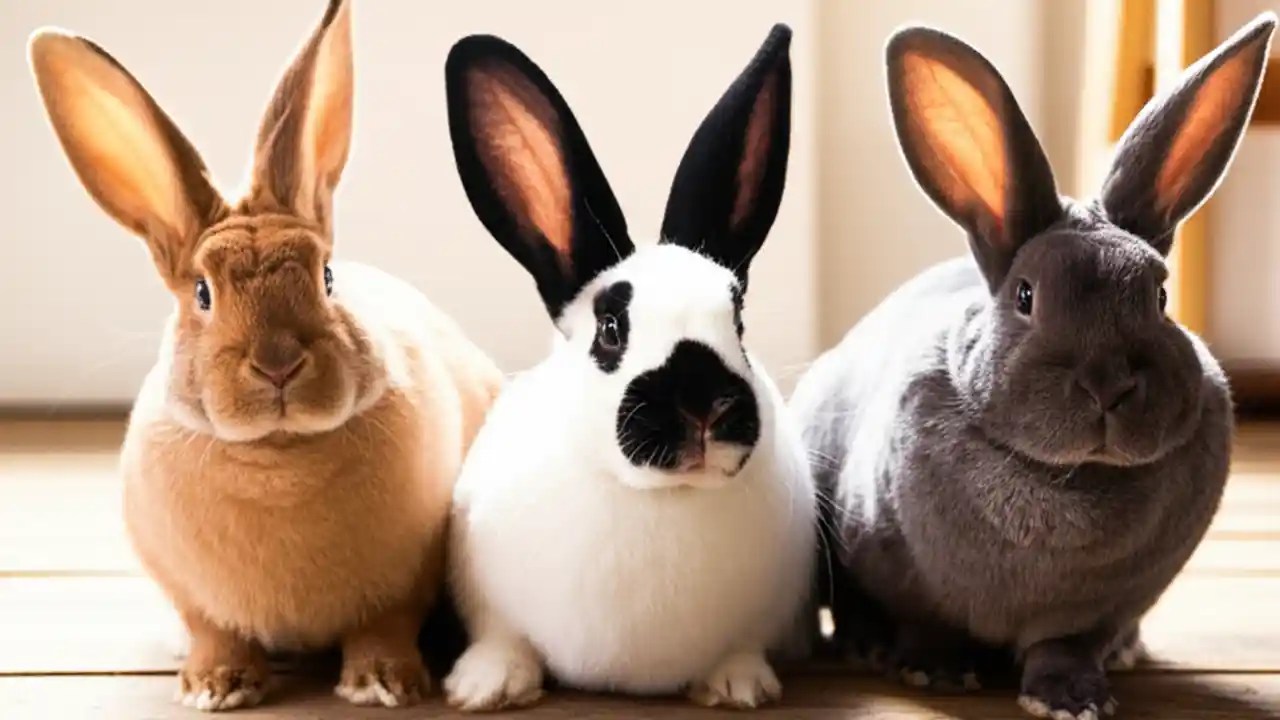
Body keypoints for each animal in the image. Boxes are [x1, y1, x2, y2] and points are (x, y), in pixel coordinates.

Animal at [28, 0, 503, 711]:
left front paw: (382, 684)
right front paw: (215, 686)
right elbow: (215, 632)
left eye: (327, 277)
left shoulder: (406, 581)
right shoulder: (192, 594)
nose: (278, 363)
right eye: (202, 293)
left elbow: (384, 627)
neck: (278, 452)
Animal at [439, 25, 815, 712]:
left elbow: (744, 647)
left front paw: (738, 686)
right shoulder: (486, 598)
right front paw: (485, 686)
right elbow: (501, 636)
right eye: (611, 328)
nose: (702, 401)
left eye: (737, 320)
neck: (658, 497)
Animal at [789, 13, 1275, 720]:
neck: (1065, 476)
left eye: (1159, 297)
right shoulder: (902, 573)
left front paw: (1072, 700)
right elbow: (926, 625)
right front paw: (937, 671)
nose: (1108, 386)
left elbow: (1065, 647)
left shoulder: (1096, 612)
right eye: (1025, 296)